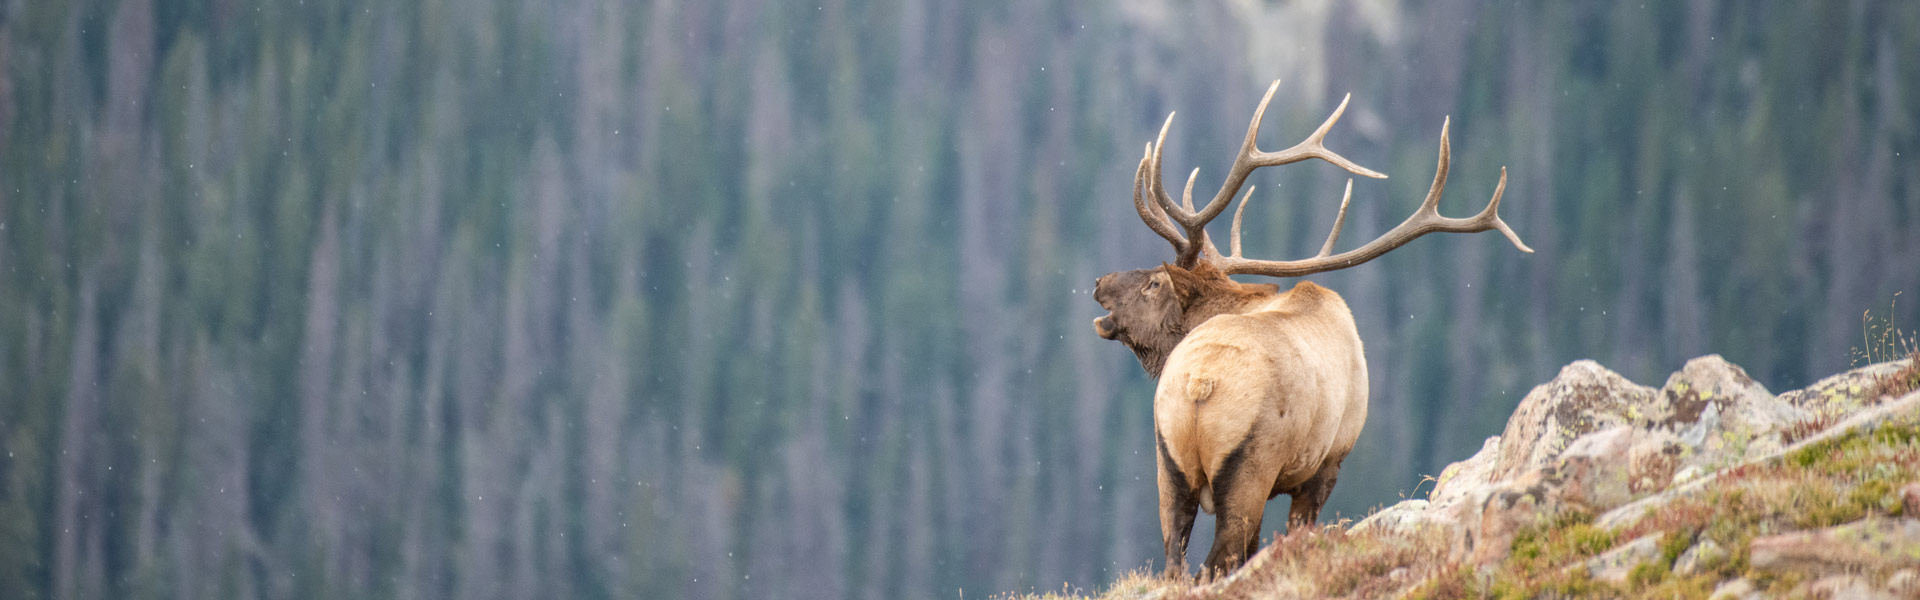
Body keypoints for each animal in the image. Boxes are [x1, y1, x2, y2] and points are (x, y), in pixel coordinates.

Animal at [1090, 80, 1532, 577]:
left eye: (1154, 282)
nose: (1100, 283)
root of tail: (1199, 383)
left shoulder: (1322, 463)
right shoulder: (1329, 462)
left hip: (1172, 462)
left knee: (1178, 561)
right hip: (1247, 469)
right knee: (1219, 559)